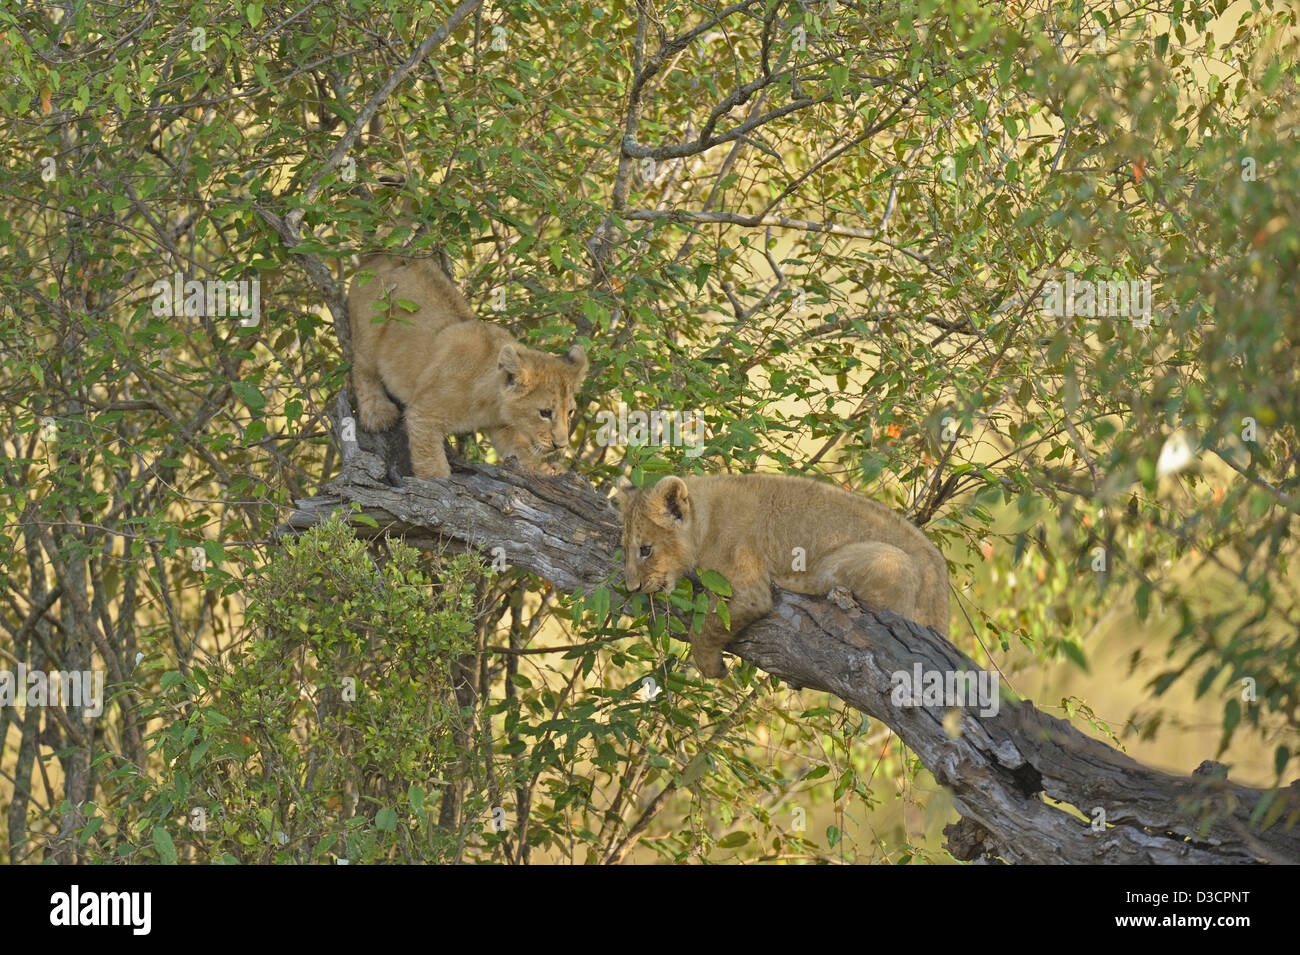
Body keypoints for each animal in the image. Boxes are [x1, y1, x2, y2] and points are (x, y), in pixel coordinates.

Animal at [347, 253, 588, 480]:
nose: (561, 445)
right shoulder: (423, 414)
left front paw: (545, 470)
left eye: (570, 412)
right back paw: (377, 412)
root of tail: (376, 257)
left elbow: (520, 449)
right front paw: (437, 481)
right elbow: (430, 462)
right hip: (369, 336)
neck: (490, 401)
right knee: (361, 370)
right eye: (545, 413)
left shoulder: (501, 425)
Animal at [619, 473, 949, 678]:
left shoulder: (749, 591)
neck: (705, 519)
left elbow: (707, 629)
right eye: (628, 549)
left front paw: (710, 667)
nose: (632, 587)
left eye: (645, 550)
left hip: (887, 560)